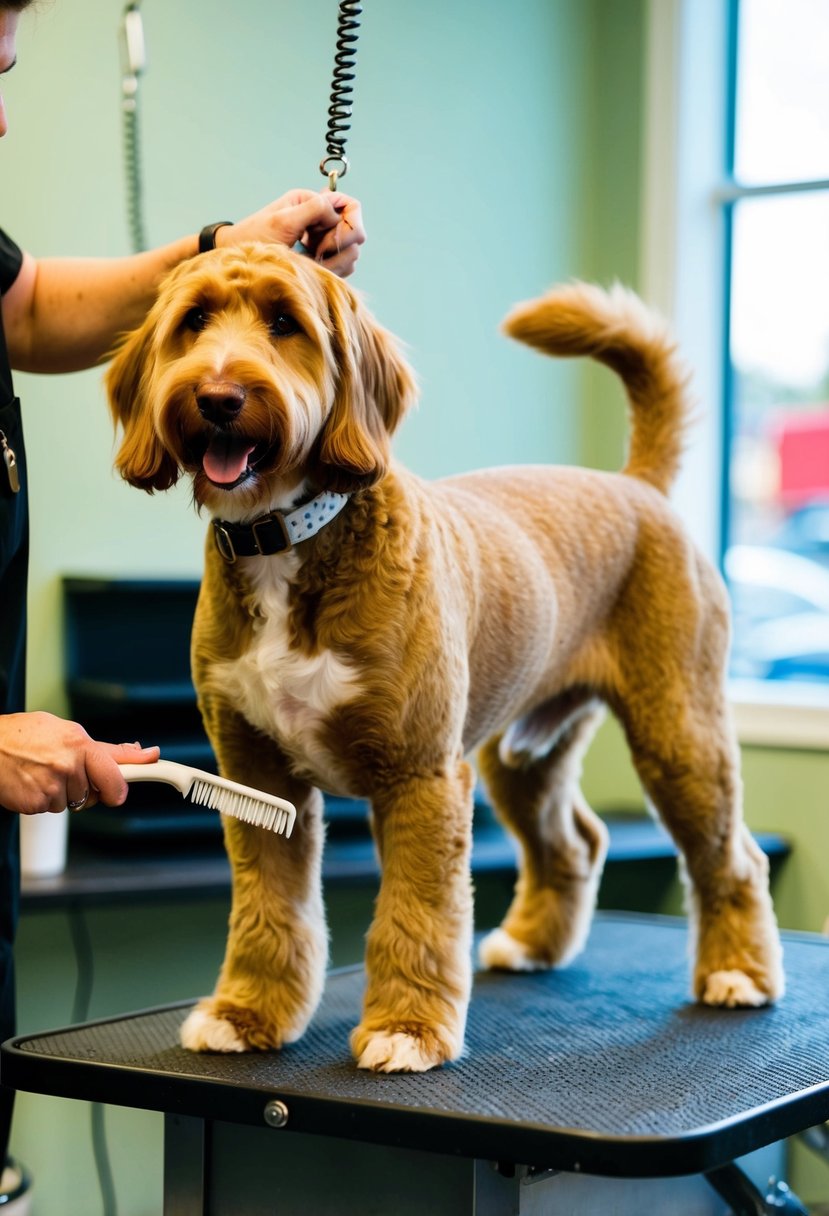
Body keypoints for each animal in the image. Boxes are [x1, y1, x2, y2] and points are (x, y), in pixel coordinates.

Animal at [105, 244, 782, 1074]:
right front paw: (245, 1013)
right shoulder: (255, 778)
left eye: (284, 323)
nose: (218, 396)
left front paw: (407, 1029)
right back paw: (530, 944)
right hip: (519, 753)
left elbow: (415, 910)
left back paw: (736, 974)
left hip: (677, 731)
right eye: (194, 321)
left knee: (732, 857)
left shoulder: (421, 777)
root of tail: (636, 487)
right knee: (573, 841)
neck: (290, 537)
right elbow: (269, 906)